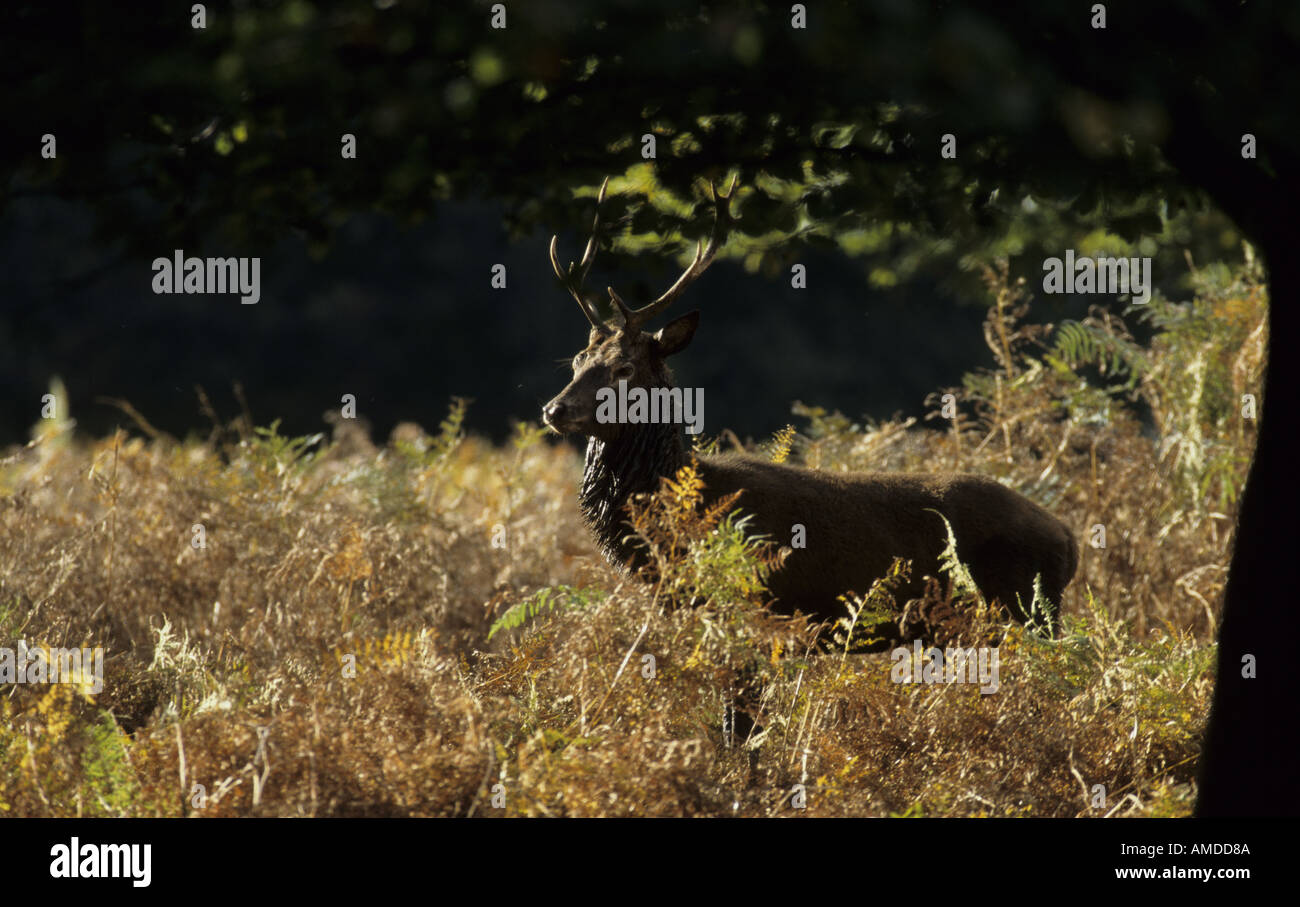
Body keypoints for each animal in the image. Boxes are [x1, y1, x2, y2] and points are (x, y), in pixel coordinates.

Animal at [542, 176, 1078, 644]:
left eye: (624, 367)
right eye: (578, 360)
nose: (554, 409)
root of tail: (1069, 541)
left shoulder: (755, 601)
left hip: (1021, 608)